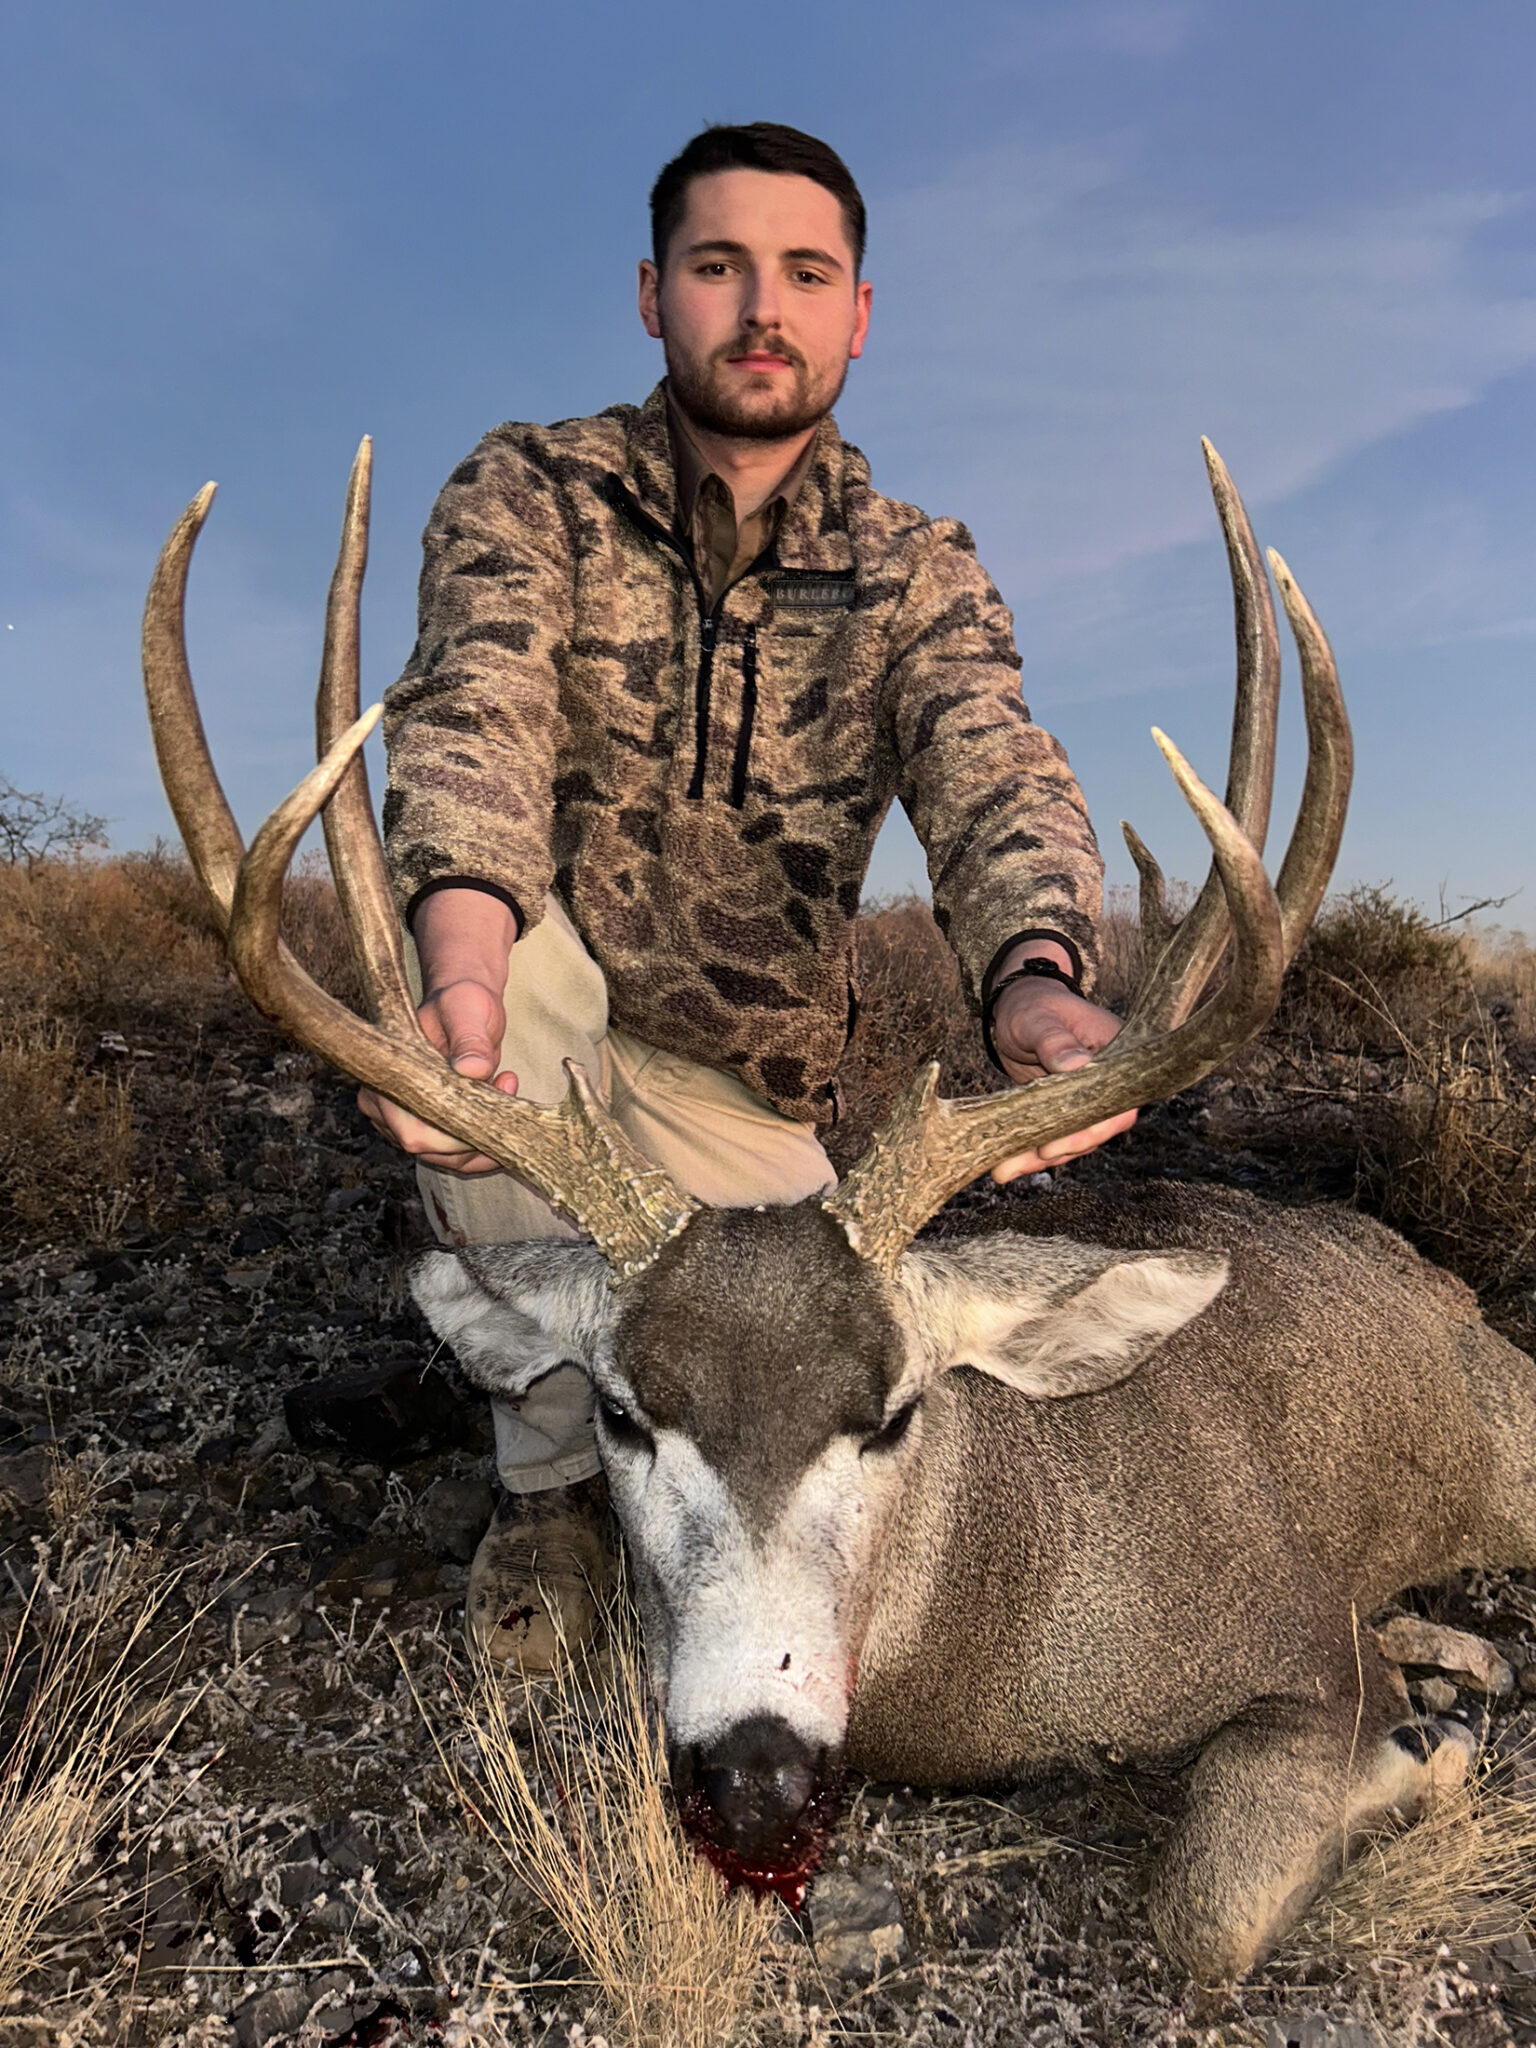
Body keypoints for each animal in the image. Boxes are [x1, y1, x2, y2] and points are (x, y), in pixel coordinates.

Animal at [142, 441, 1536, 1985]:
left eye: (894, 1414)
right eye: (624, 1411)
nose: (753, 1773)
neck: (998, 1614)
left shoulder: (1295, 1633)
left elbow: (1211, 1908)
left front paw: (1428, 1753)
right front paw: (1434, 1717)